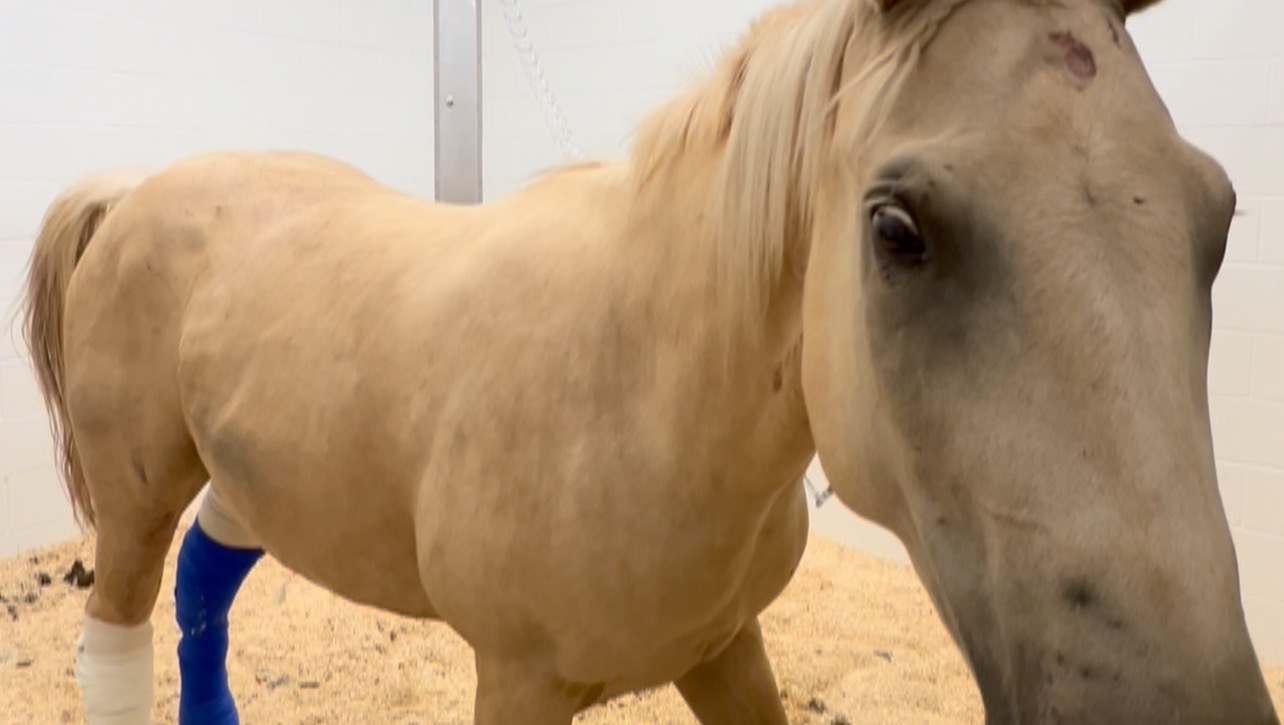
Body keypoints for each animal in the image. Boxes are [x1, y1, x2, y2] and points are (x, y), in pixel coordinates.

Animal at [19, 0, 1280, 722]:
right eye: (897, 229)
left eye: (1218, 214)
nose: (1189, 706)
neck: (642, 391)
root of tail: (139, 188)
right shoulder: (517, 680)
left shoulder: (725, 646)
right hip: (135, 499)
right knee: (120, 629)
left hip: (255, 474)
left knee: (209, 578)